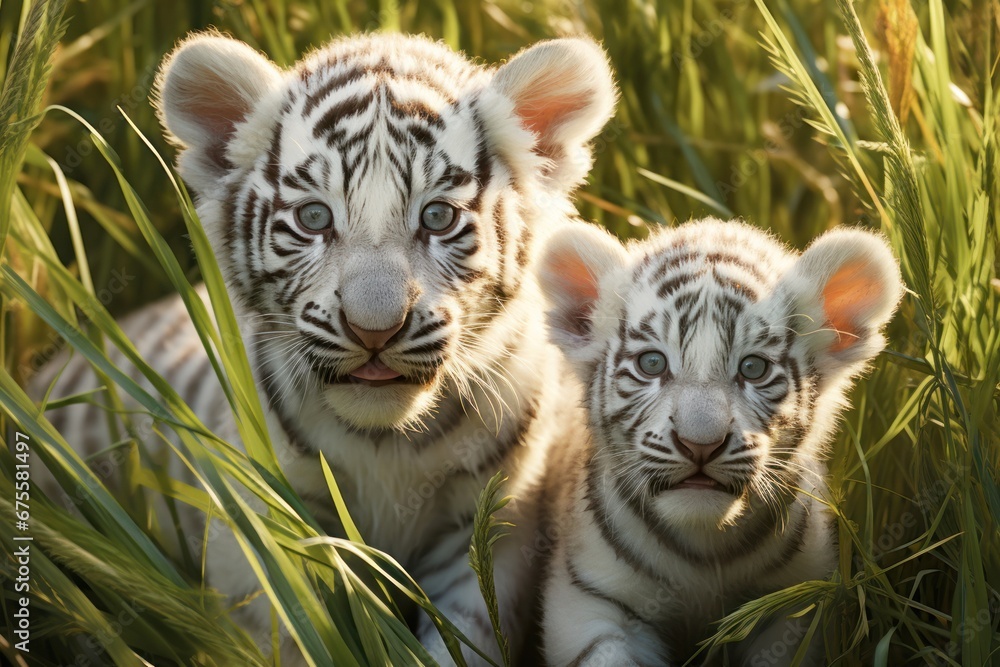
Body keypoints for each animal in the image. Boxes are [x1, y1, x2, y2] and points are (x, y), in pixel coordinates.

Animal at [28, 32, 616, 664]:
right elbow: (294, 629)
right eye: (314, 217)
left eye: (437, 216)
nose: (375, 329)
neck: (388, 445)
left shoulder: (488, 523)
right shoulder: (268, 521)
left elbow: (465, 633)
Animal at [534, 218, 903, 666]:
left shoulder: (791, 606)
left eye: (753, 368)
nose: (700, 444)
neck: (705, 548)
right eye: (651, 363)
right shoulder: (594, 602)